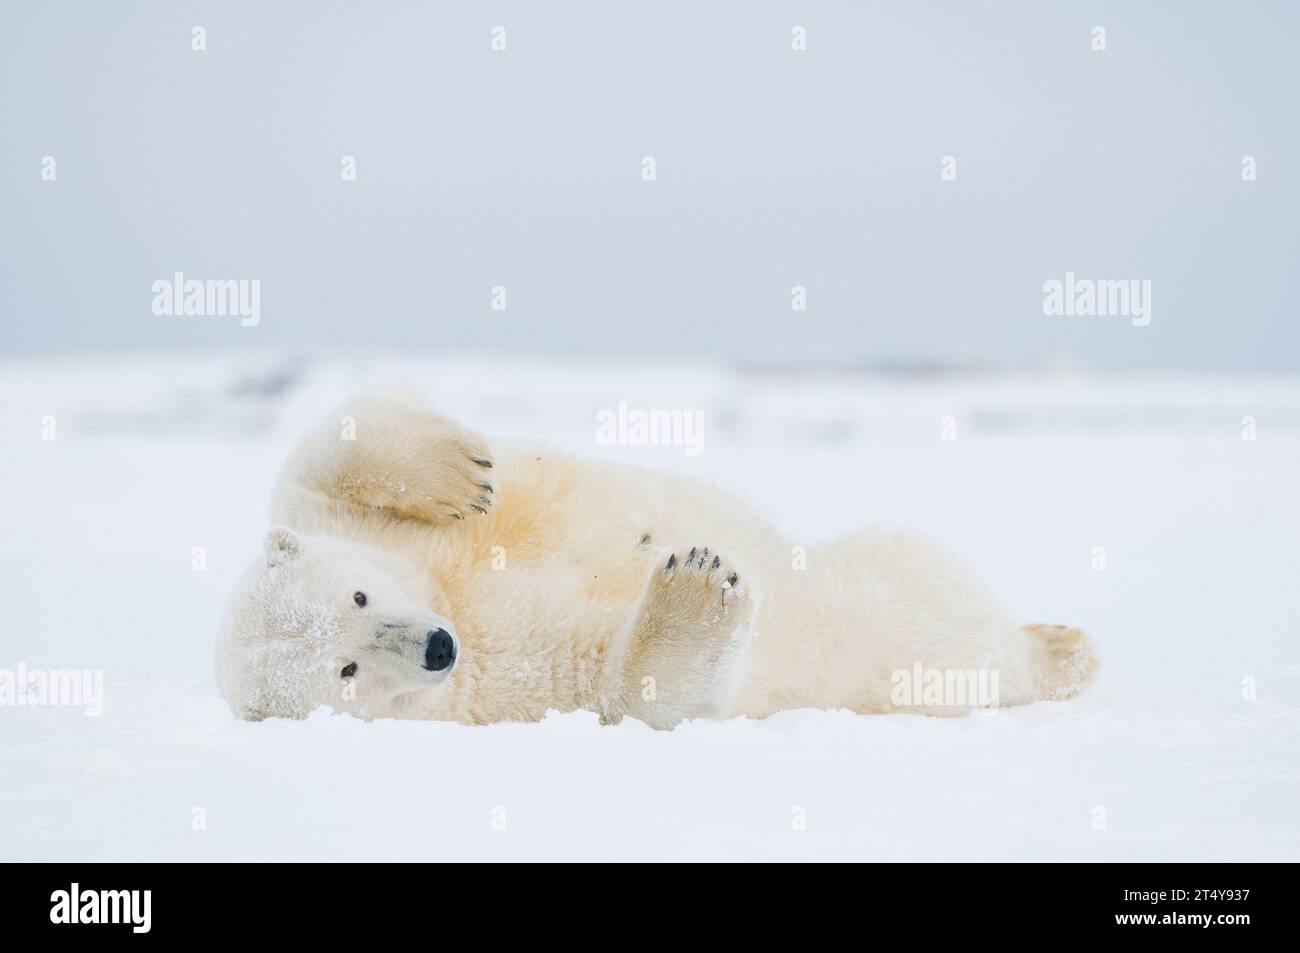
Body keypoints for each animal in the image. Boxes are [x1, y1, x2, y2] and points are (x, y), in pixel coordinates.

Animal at [214, 395, 1098, 728]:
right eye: (345, 671)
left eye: (360, 596)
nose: (437, 647)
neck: (455, 601)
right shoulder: (498, 694)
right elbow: (632, 692)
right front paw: (699, 580)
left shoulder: (337, 523)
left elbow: (323, 445)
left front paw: (464, 473)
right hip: (871, 634)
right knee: (937, 626)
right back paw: (1061, 652)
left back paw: (1060, 638)